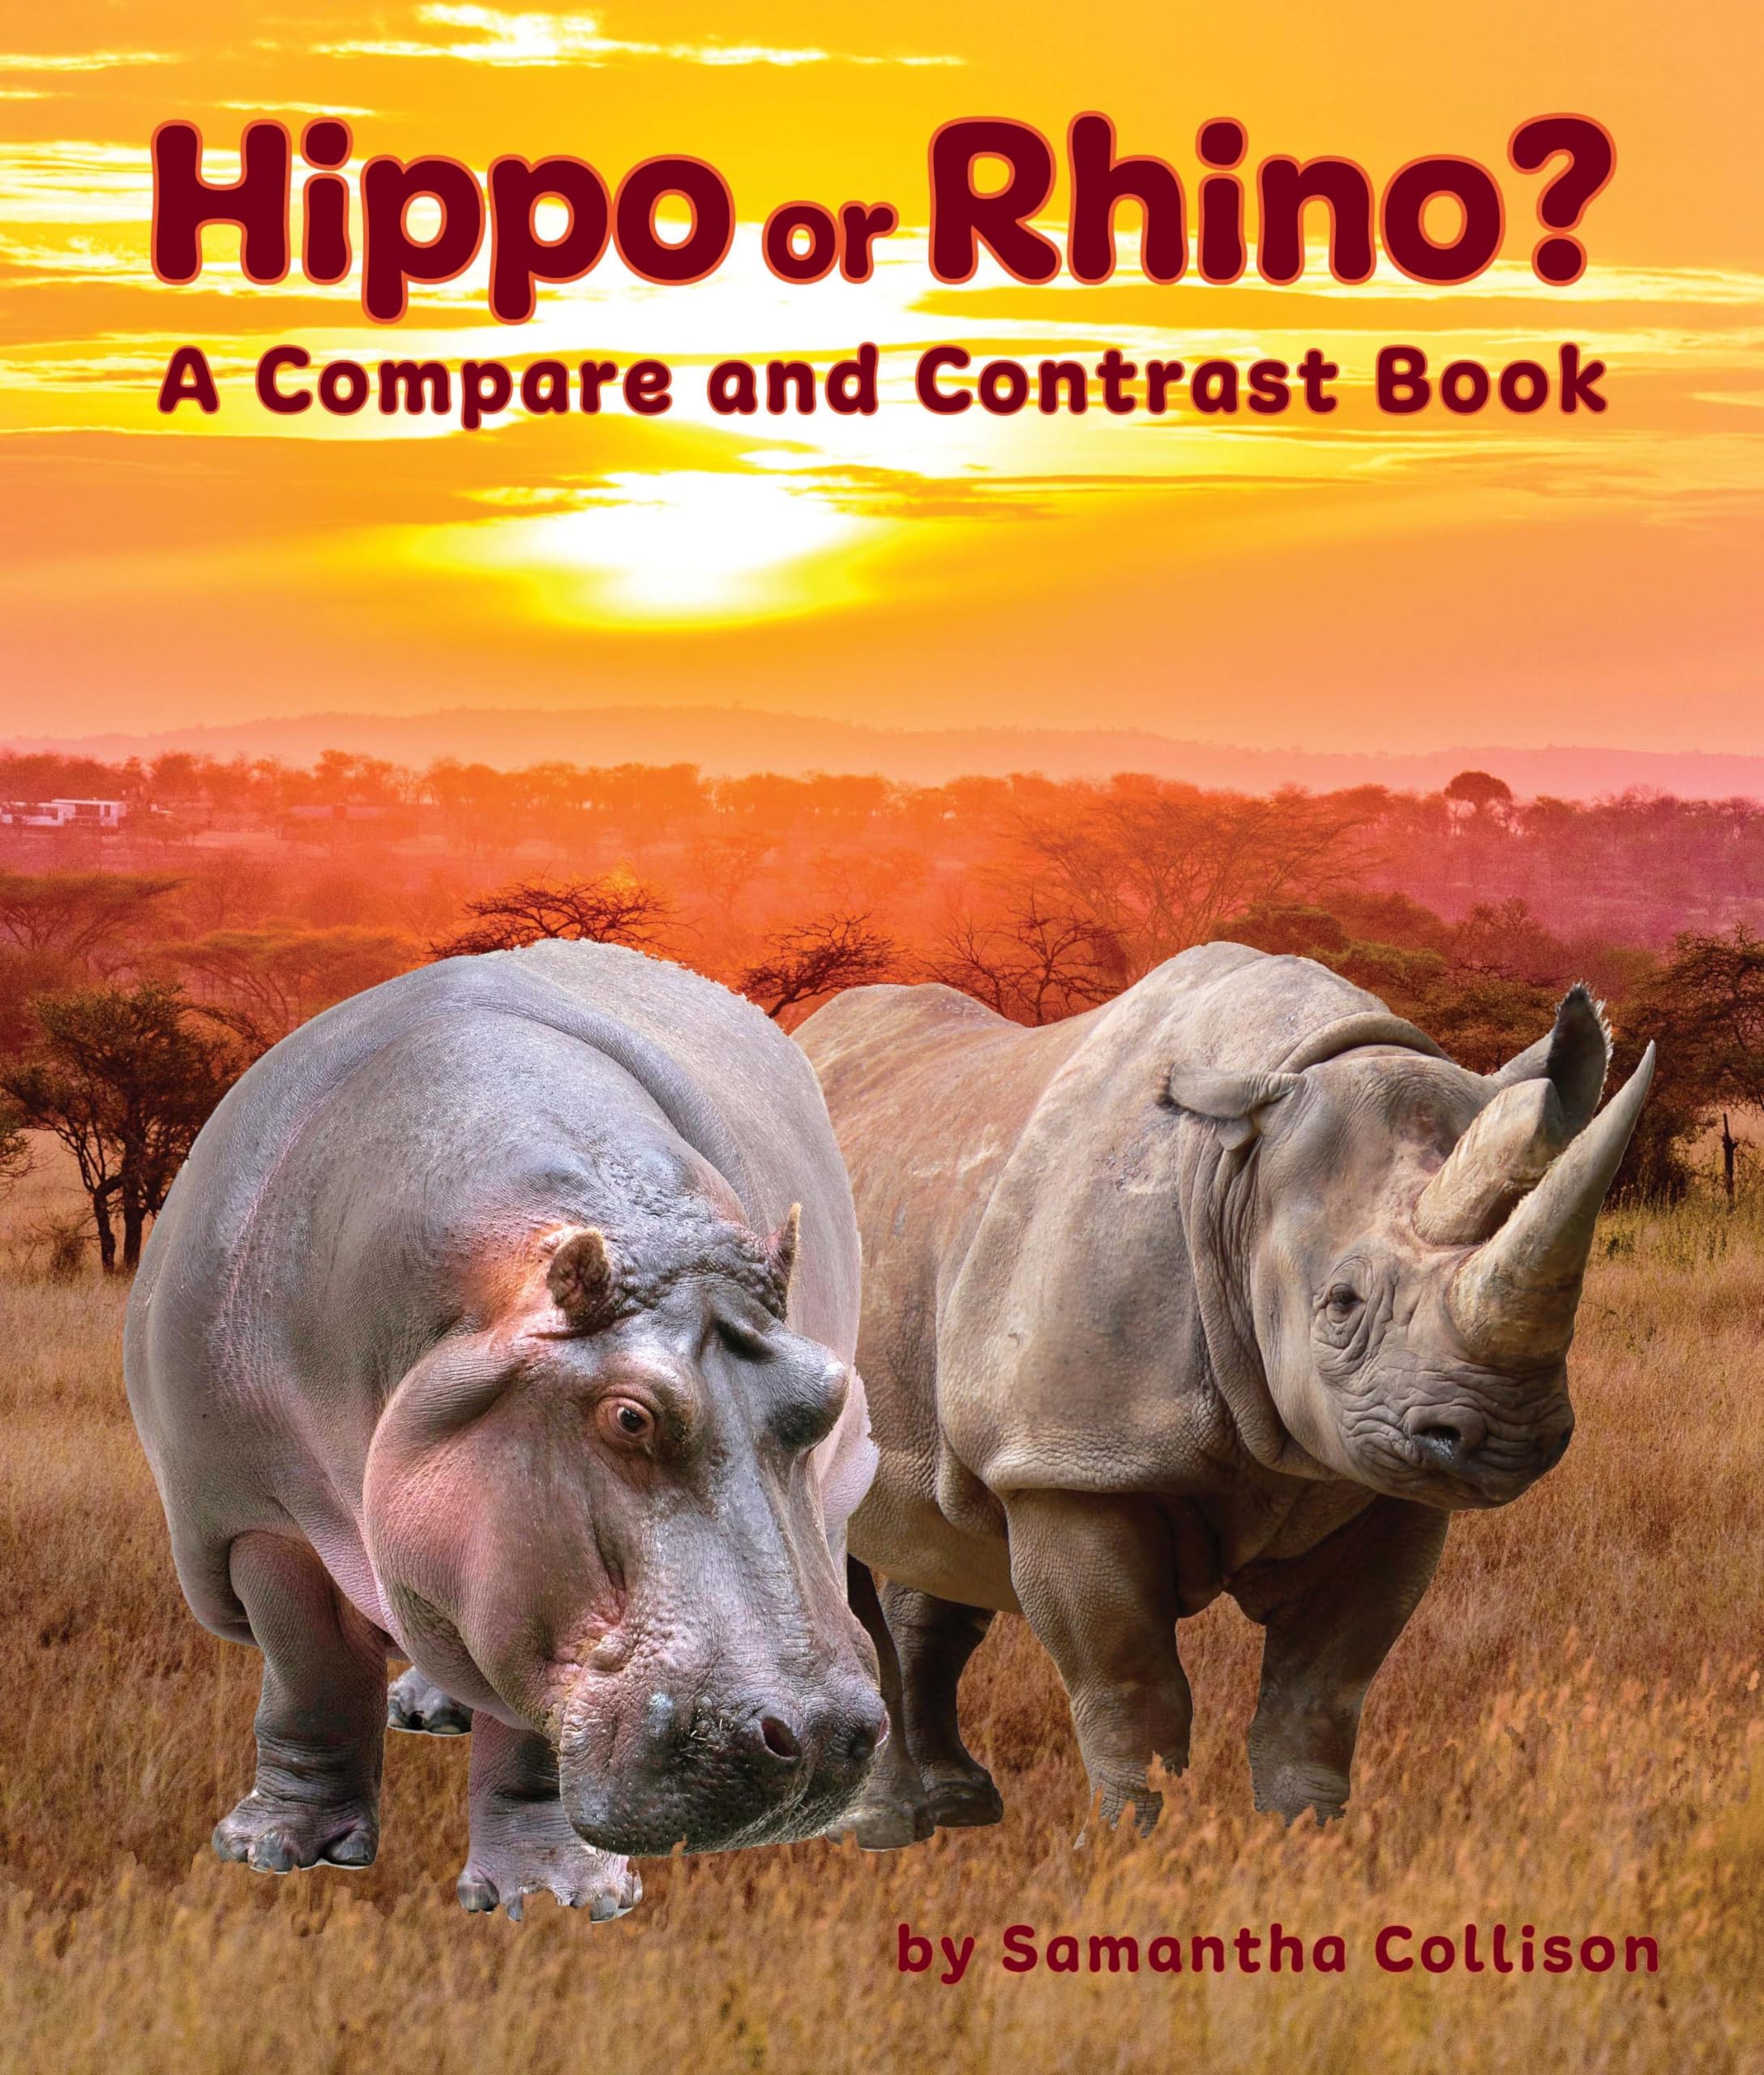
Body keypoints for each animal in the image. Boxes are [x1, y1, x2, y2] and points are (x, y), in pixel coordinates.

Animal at [126, 942, 886, 1917]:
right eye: (628, 1415)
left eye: (824, 1390)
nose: (824, 1736)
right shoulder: (257, 1515)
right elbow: (311, 1675)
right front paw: (273, 1851)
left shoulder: (525, 1595)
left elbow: (524, 1737)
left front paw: (558, 1897)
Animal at [796, 946, 1652, 1843]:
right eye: (1340, 1303)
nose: (1508, 1435)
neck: (1241, 1182)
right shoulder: (1069, 1462)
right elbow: (1131, 1689)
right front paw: (1131, 1852)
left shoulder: (1382, 1487)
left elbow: (1321, 1692)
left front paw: (1309, 1848)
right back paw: (880, 1830)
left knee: (939, 1537)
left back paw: (961, 1809)